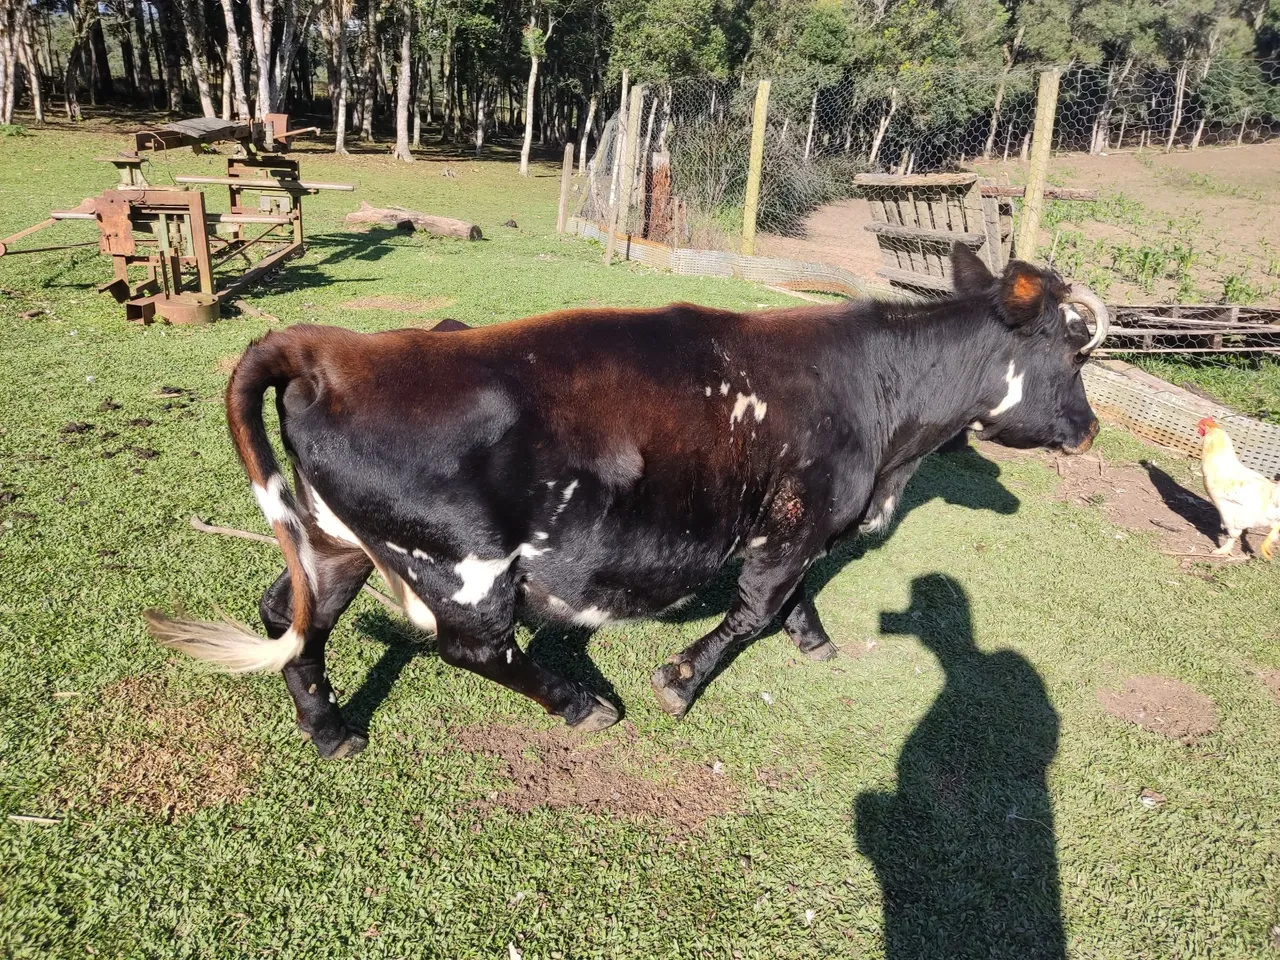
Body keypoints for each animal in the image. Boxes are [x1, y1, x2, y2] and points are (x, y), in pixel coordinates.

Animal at [146, 244, 1109, 759]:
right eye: (1073, 349)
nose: (1092, 428)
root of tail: (330, 349)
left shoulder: (799, 526)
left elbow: (792, 600)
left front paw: (815, 639)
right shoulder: (794, 521)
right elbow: (755, 610)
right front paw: (681, 680)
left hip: (333, 538)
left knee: (290, 613)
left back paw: (329, 726)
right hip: (465, 565)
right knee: (473, 649)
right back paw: (582, 702)